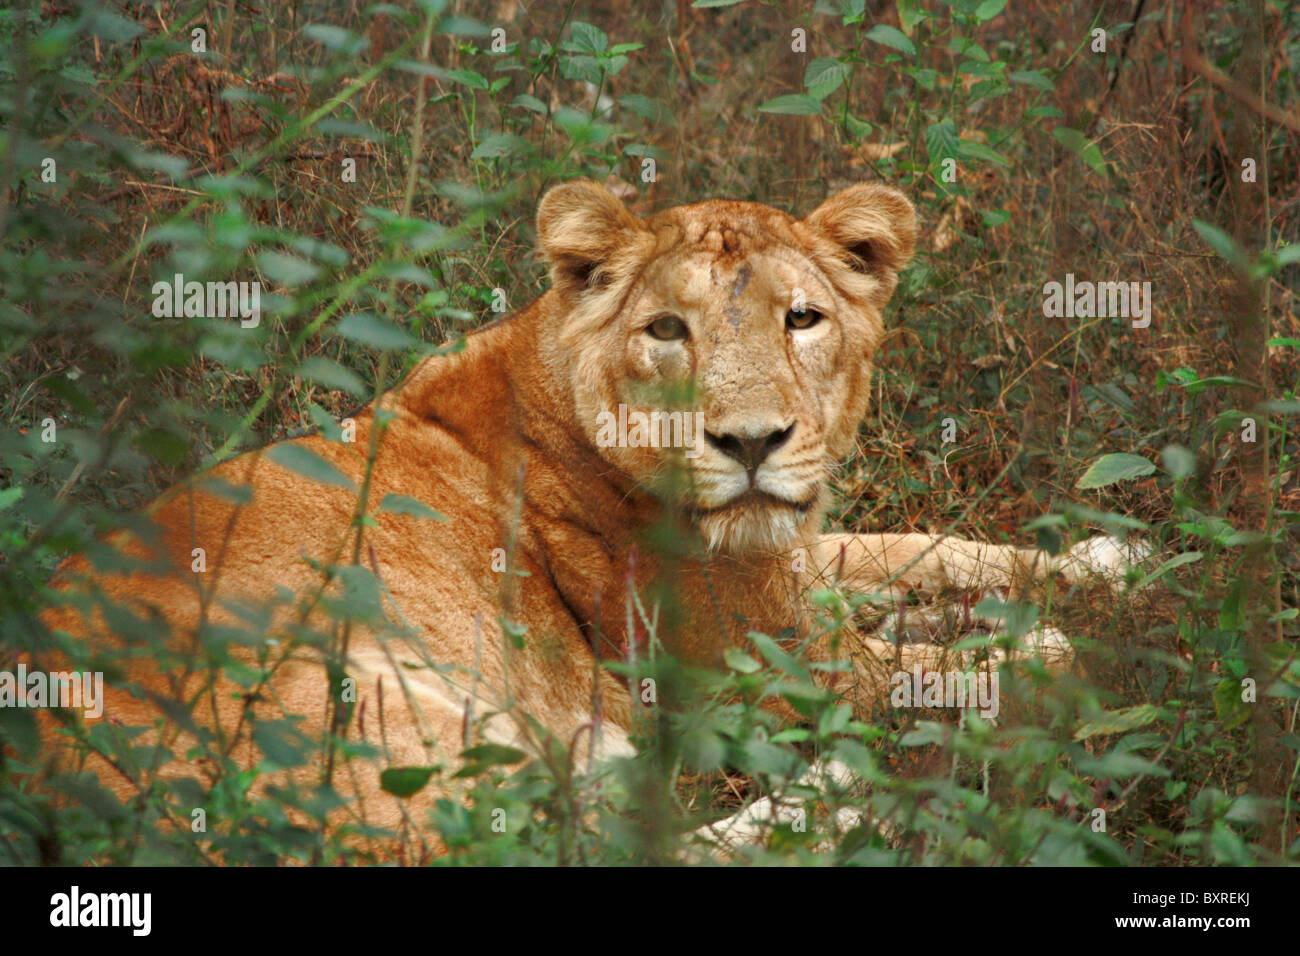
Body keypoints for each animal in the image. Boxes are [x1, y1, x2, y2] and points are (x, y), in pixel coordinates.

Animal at [33, 180, 1137, 857]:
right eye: (667, 328)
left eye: (801, 317)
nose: (751, 443)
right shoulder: (764, 671)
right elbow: (969, 666)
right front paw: (1055, 642)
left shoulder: (791, 570)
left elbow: (915, 546)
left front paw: (1109, 558)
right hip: (407, 720)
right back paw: (848, 789)